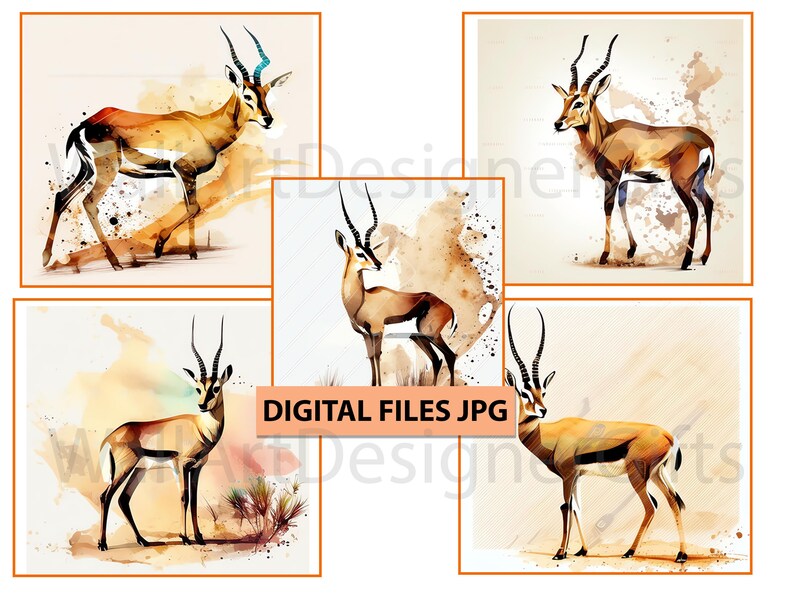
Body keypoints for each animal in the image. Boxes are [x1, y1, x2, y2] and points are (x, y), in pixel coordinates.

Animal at [43, 27, 292, 271]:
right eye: (247, 95)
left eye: (265, 93)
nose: (268, 120)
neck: (204, 126)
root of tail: (86, 123)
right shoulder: (184, 170)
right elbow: (194, 208)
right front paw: (159, 247)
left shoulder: (189, 175)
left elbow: (192, 209)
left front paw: (192, 253)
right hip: (106, 170)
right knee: (89, 203)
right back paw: (115, 263)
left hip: (88, 170)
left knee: (62, 196)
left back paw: (46, 258)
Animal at [97, 317, 232, 551]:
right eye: (198, 389)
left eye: (215, 388)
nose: (202, 405)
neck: (200, 428)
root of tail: (109, 438)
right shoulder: (182, 465)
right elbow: (184, 498)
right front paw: (185, 538)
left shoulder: (197, 468)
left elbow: (194, 500)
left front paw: (199, 537)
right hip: (125, 468)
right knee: (106, 496)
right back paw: (103, 544)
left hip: (139, 470)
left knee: (124, 499)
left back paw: (143, 540)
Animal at [334, 182, 458, 386]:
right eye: (361, 253)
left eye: (371, 250)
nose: (378, 264)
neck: (362, 300)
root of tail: (447, 305)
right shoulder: (366, 335)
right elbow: (370, 357)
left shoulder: (377, 331)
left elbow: (377, 356)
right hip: (419, 338)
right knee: (436, 359)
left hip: (430, 334)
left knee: (450, 355)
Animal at [507, 307, 688, 563]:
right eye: (524, 392)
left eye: (543, 391)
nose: (542, 410)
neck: (551, 433)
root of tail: (668, 436)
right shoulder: (578, 476)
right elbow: (578, 508)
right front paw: (581, 550)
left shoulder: (567, 475)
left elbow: (565, 507)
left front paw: (560, 554)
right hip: (657, 474)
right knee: (675, 501)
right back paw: (681, 555)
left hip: (638, 475)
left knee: (651, 505)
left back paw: (630, 552)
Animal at [553, 35, 716, 270]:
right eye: (565, 100)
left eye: (579, 103)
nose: (558, 124)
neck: (607, 135)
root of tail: (706, 141)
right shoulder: (625, 181)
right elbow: (622, 206)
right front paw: (631, 250)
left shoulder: (612, 178)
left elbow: (608, 208)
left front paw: (604, 256)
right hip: (698, 181)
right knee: (709, 204)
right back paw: (704, 257)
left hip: (682, 182)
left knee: (693, 210)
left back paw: (685, 261)